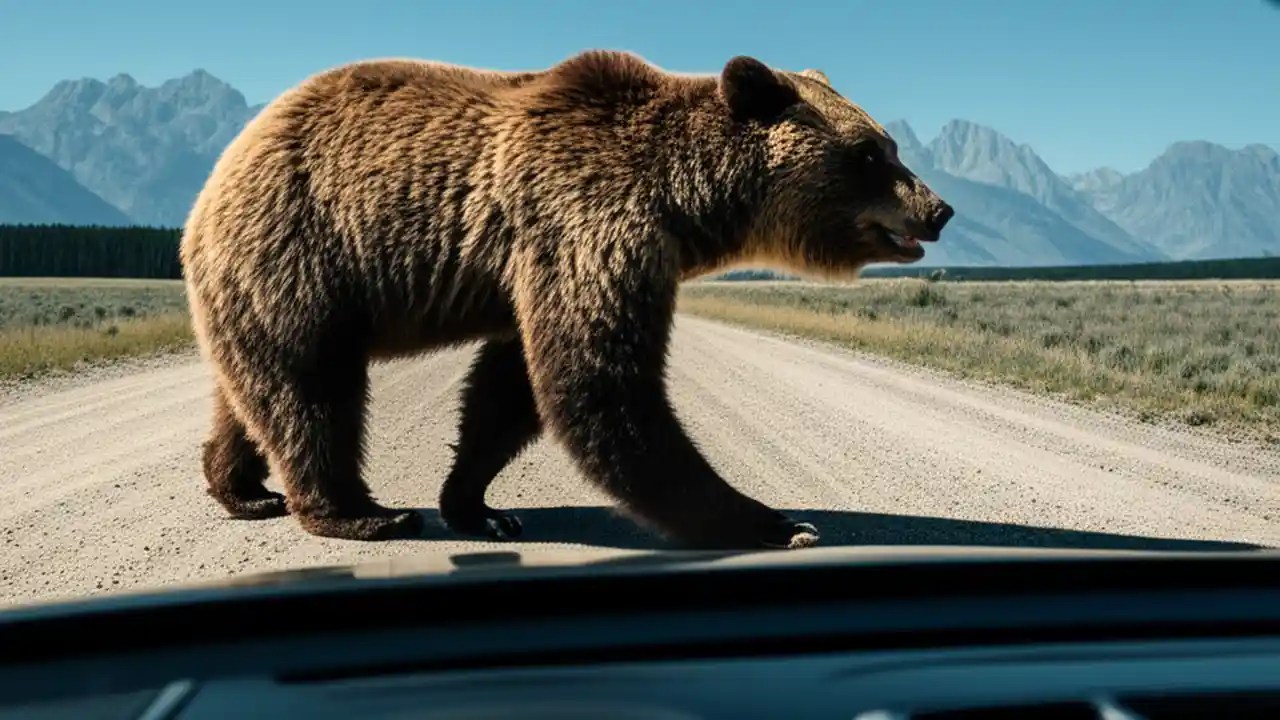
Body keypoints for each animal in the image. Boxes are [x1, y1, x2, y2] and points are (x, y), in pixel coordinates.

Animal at [179, 49, 952, 549]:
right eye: (870, 153)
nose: (938, 209)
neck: (684, 200)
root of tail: (214, 180)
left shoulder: (544, 261)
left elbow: (509, 390)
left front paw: (479, 505)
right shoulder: (586, 218)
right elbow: (600, 384)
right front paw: (775, 522)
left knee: (253, 392)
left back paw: (242, 489)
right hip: (302, 250)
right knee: (313, 389)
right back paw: (360, 511)